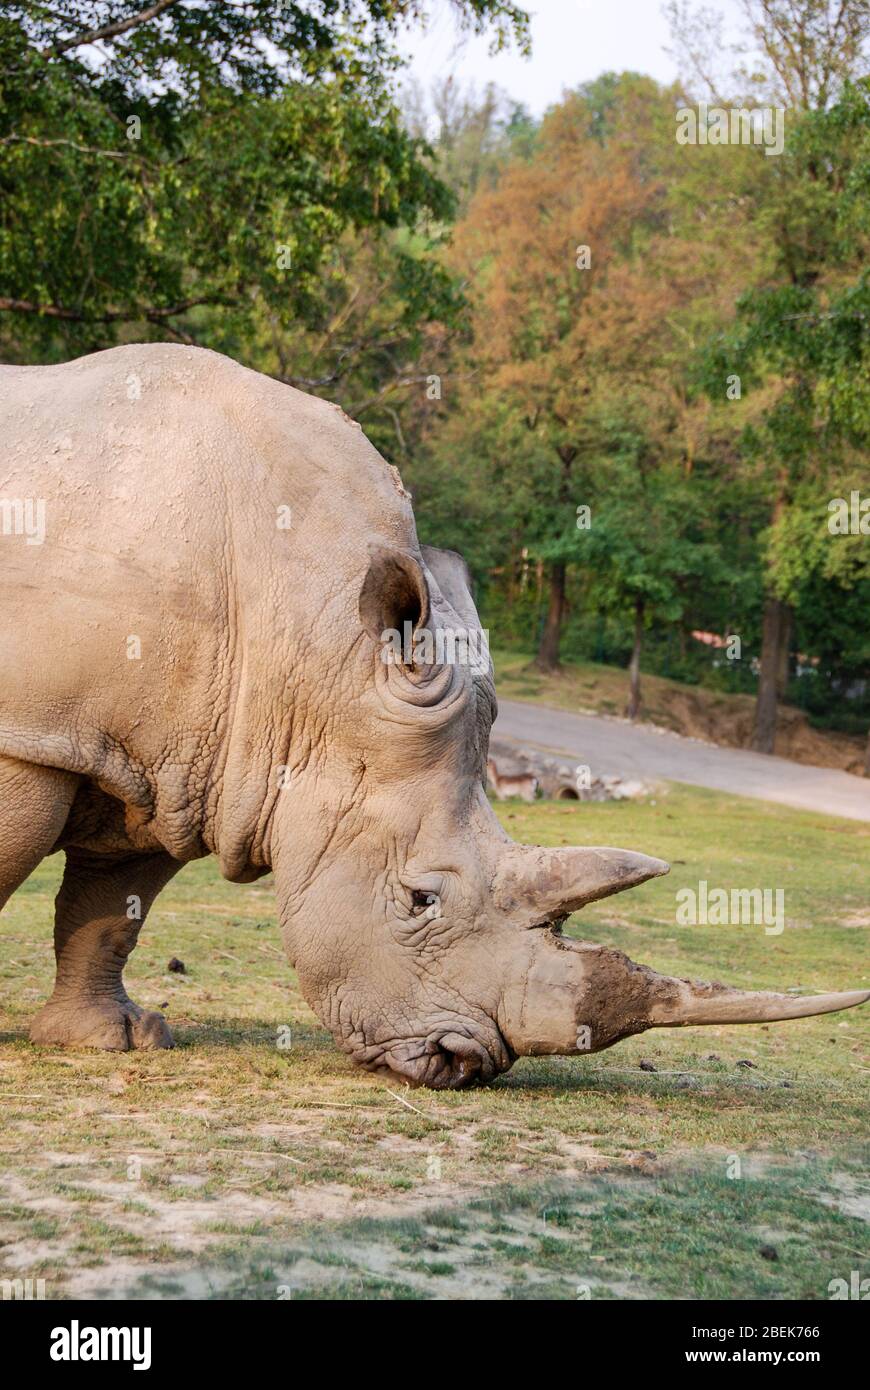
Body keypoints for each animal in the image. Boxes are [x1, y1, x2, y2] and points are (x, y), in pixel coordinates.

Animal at [0, 344, 865, 1088]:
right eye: (421, 900)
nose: (464, 1063)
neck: (311, 650)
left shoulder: (174, 766)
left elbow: (112, 907)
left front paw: (110, 1038)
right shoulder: (40, 734)